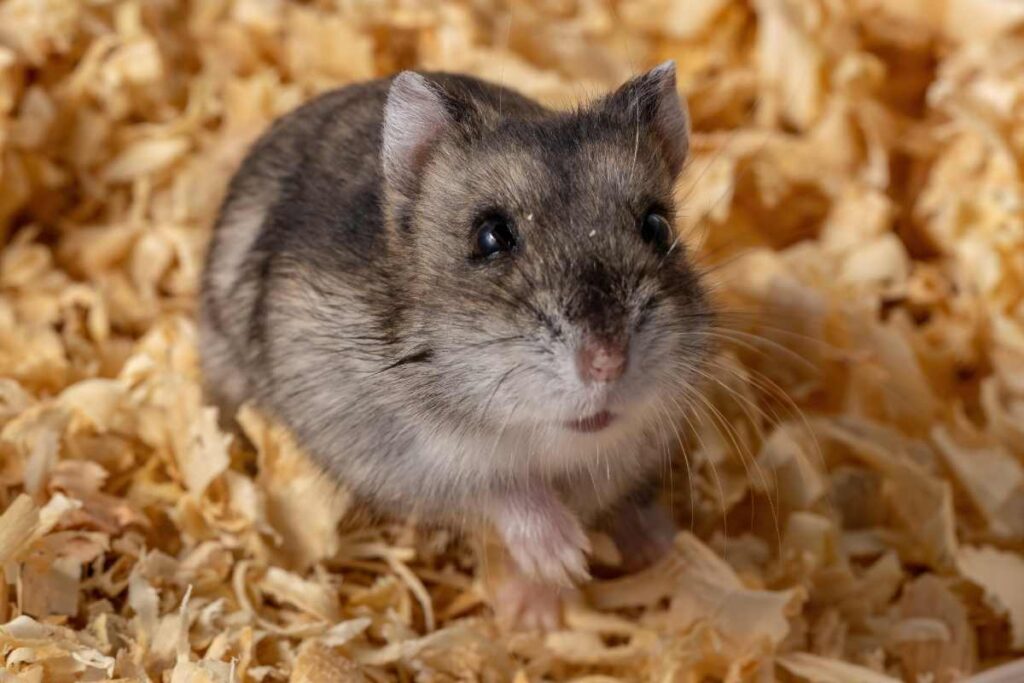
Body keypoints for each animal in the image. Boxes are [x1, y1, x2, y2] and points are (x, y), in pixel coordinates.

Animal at [199, 62, 714, 629]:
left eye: (657, 226)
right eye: (490, 237)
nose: (607, 362)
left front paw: (664, 549)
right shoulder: (404, 455)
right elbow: (498, 489)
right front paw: (557, 574)